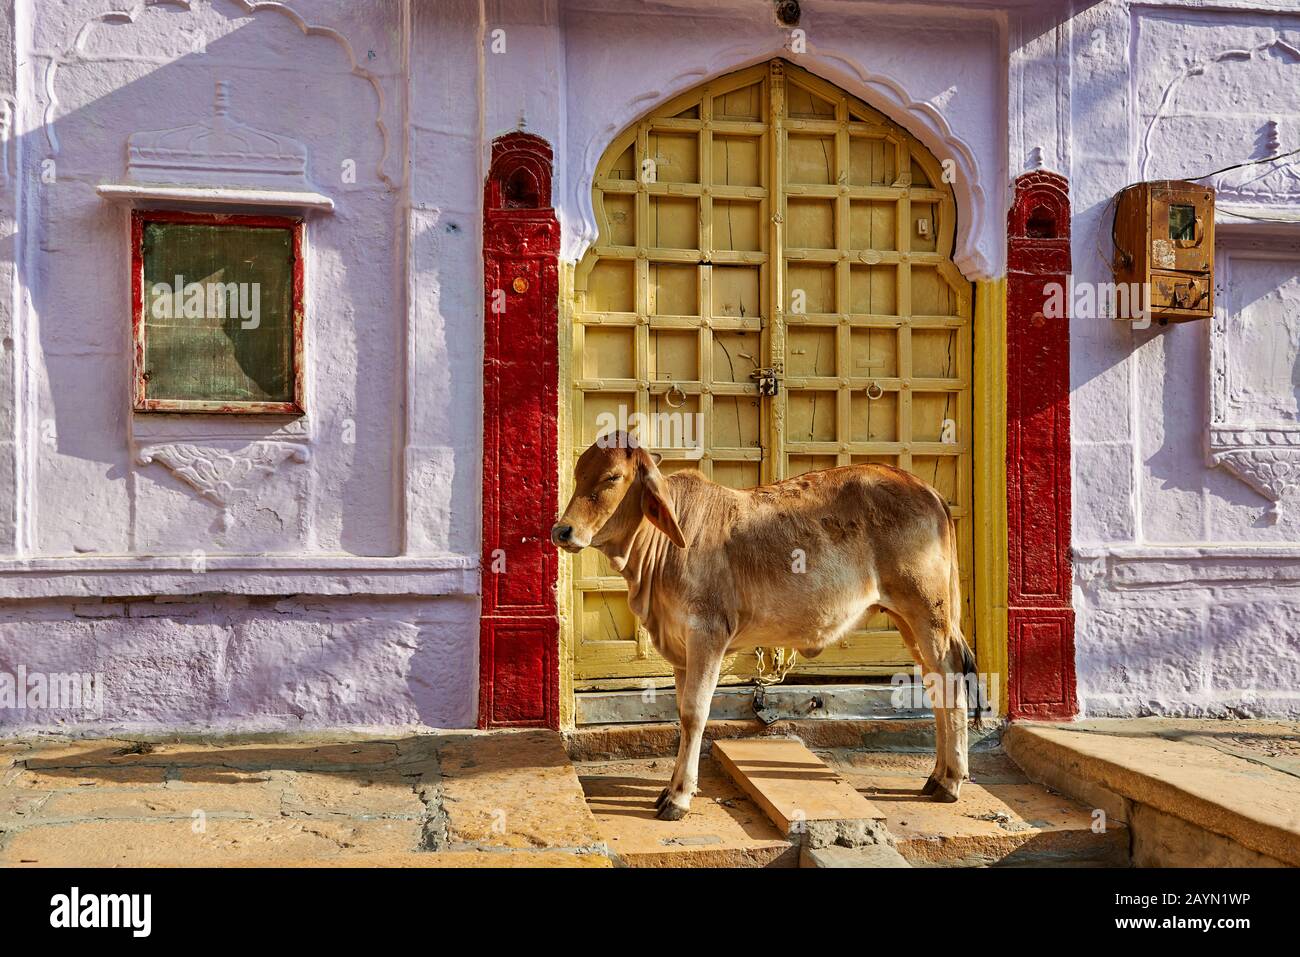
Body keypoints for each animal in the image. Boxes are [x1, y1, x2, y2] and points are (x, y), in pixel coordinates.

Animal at [551, 431, 980, 821]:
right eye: (578, 472)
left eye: (612, 477)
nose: (562, 531)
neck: (663, 549)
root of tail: (926, 489)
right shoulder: (680, 648)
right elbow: (681, 713)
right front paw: (668, 790)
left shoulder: (707, 635)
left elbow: (694, 712)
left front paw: (678, 797)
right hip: (910, 621)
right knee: (935, 684)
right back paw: (937, 776)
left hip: (929, 613)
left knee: (950, 677)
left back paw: (951, 781)